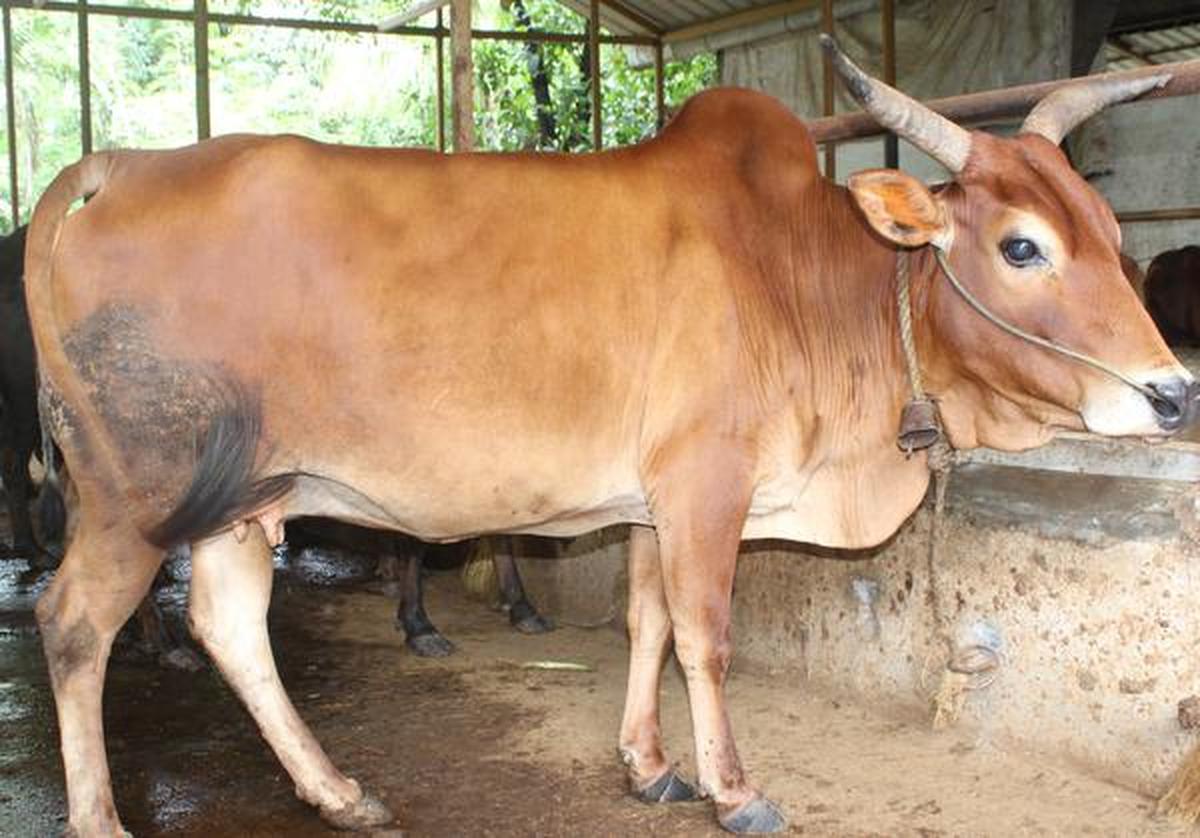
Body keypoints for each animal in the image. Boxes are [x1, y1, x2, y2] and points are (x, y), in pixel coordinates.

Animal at [24, 39, 1194, 835]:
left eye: (1107, 228)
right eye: (1022, 245)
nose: (1173, 393)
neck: (809, 275)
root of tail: (119, 163)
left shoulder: (648, 503)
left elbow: (647, 625)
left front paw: (649, 764)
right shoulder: (706, 484)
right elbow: (706, 634)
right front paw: (735, 788)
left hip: (241, 496)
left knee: (230, 626)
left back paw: (340, 791)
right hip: (134, 496)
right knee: (73, 623)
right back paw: (101, 816)